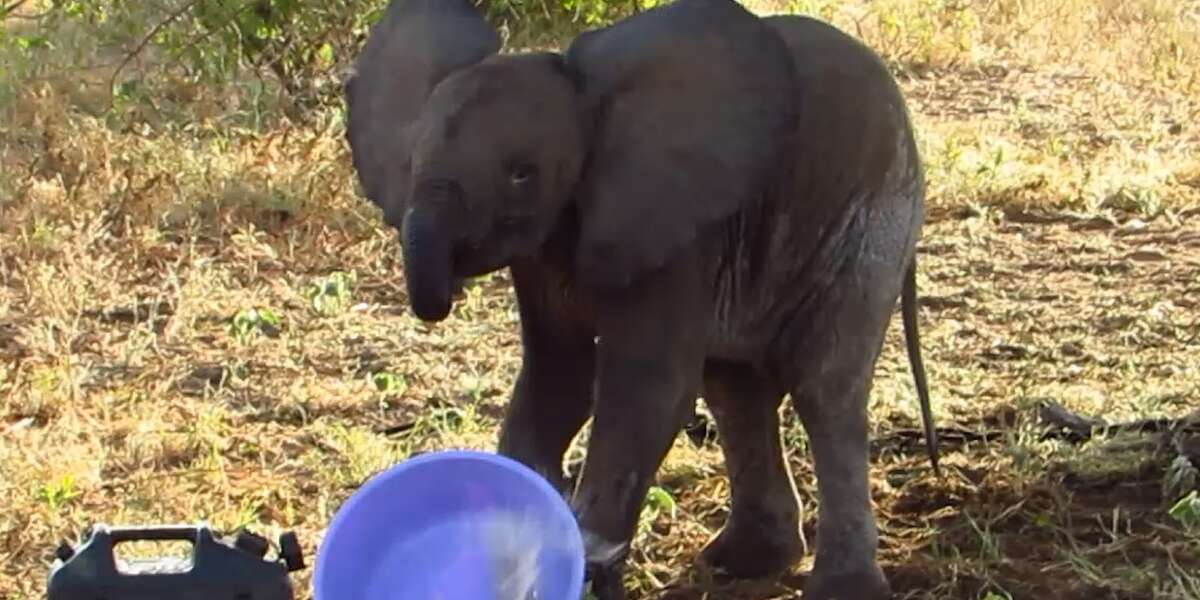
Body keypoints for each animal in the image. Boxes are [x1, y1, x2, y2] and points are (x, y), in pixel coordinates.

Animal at [343, 0, 939, 598]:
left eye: (521, 174)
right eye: (410, 162)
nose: (444, 294)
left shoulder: (673, 224)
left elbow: (647, 388)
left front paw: (587, 560)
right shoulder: (544, 250)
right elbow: (558, 379)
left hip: (874, 213)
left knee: (825, 388)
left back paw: (840, 586)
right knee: (734, 388)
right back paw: (745, 562)